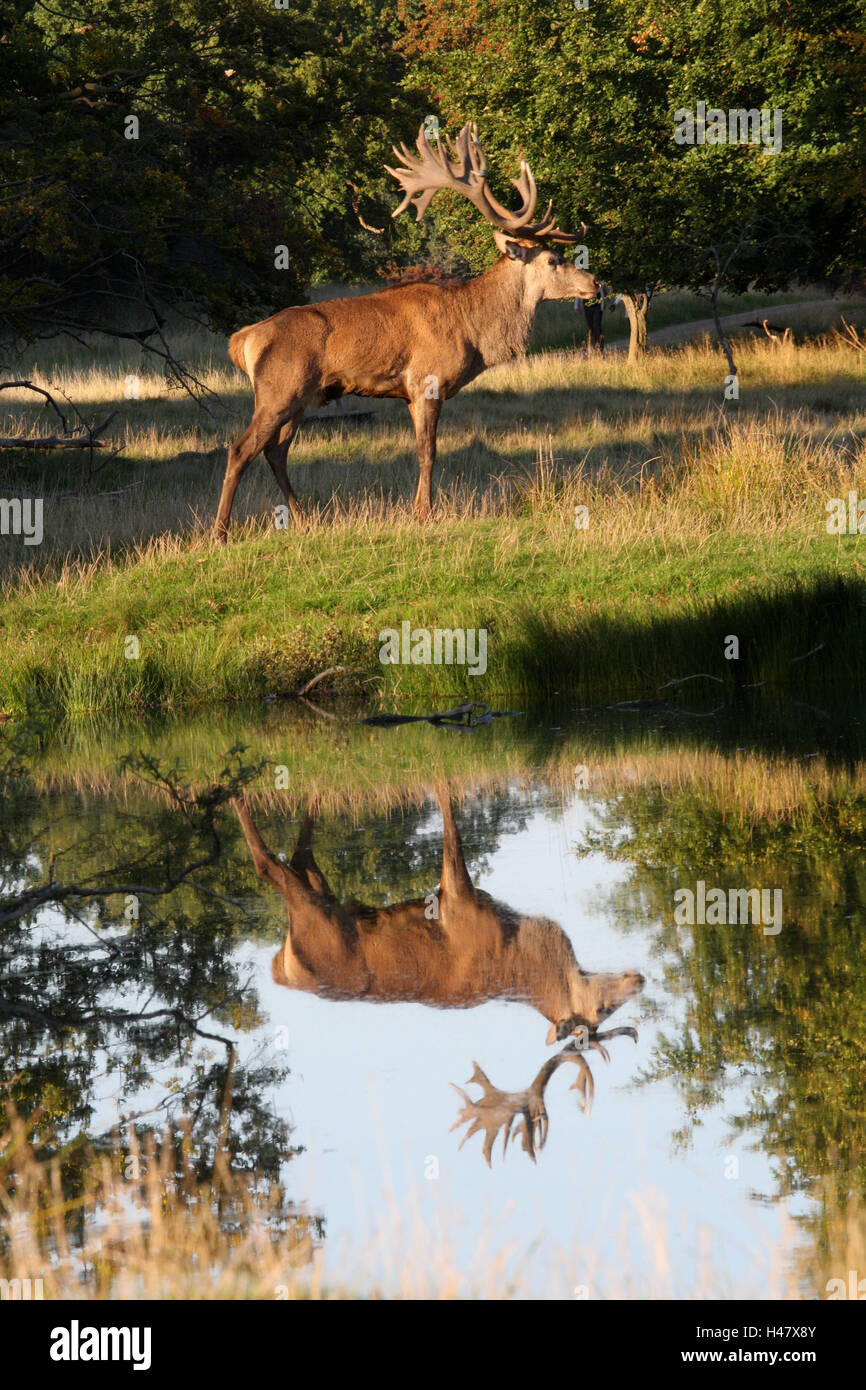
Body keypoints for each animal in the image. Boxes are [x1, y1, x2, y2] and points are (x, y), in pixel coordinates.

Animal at [215, 123, 600, 538]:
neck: (473, 328)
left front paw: (420, 510)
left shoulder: (411, 392)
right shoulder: (426, 381)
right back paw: (220, 531)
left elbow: (423, 451)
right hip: (277, 391)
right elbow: (428, 451)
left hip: (302, 399)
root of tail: (243, 340)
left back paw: (303, 519)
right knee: (240, 448)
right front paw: (425, 514)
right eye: (553, 260)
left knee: (276, 450)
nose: (595, 282)